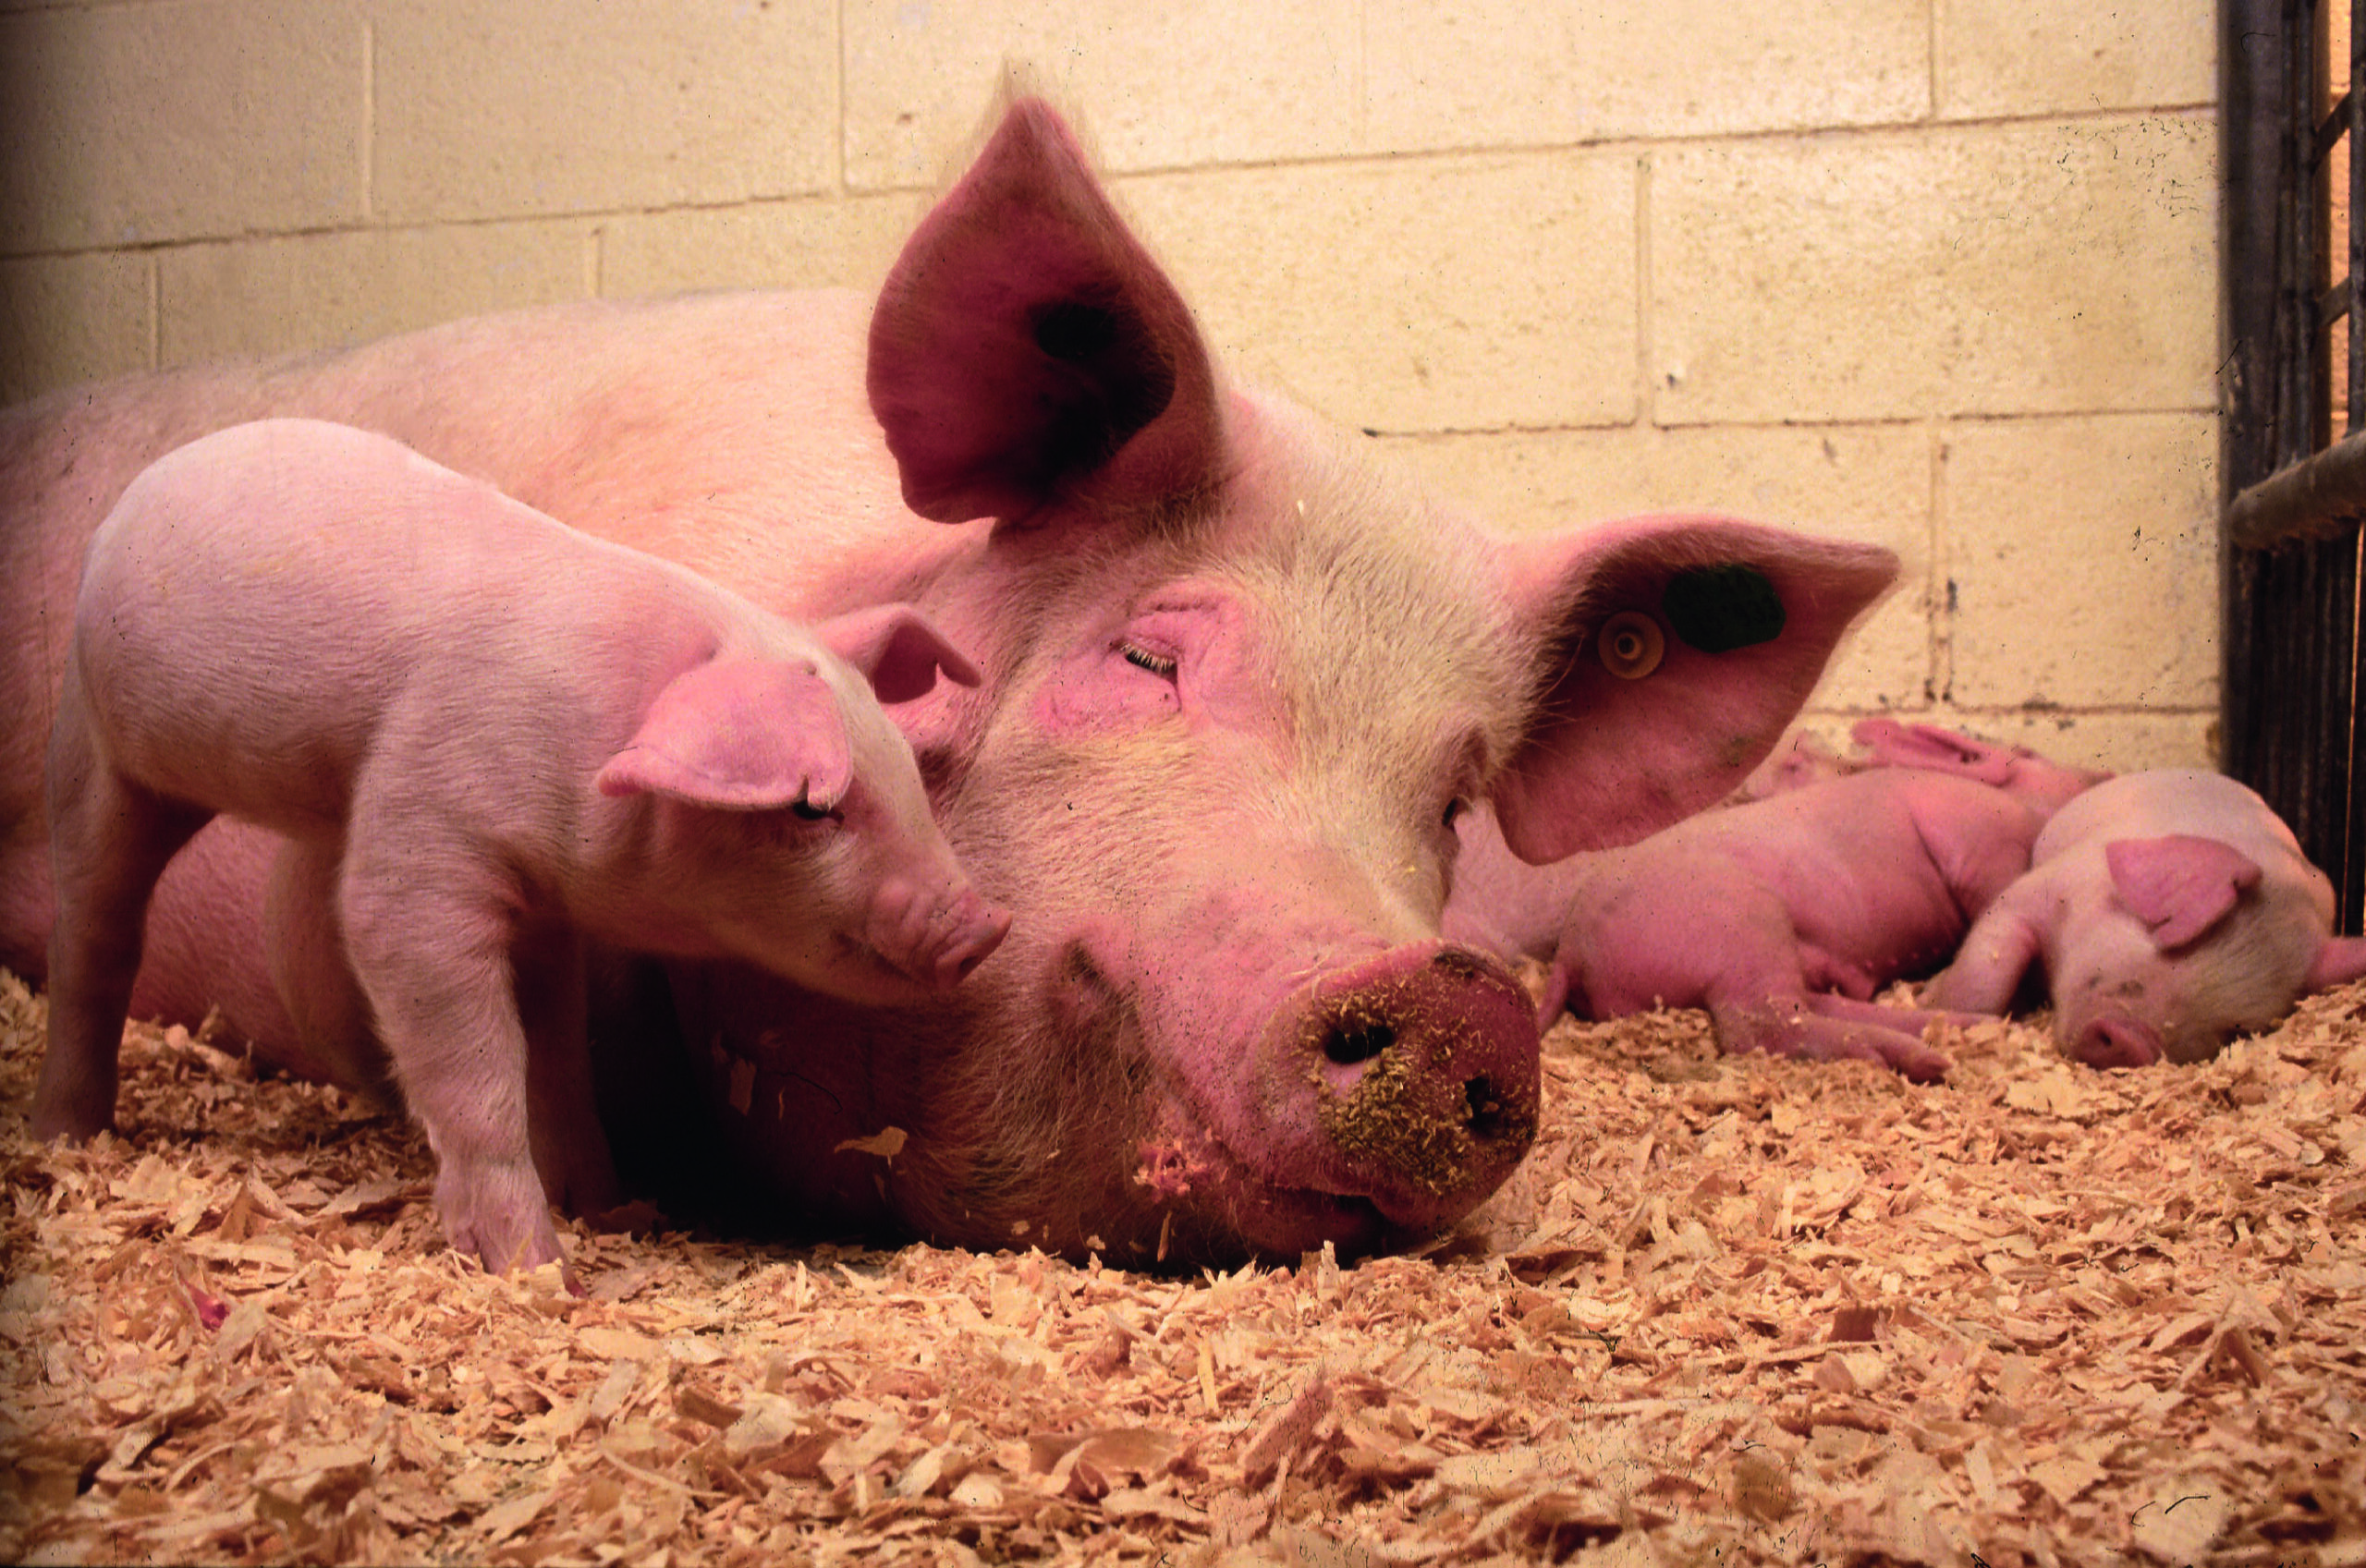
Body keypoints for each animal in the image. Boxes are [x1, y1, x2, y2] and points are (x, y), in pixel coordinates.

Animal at [34, 417, 1008, 1273]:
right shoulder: (420, 831)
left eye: (906, 771)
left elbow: (558, 1057)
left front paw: (613, 1209)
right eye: (812, 808)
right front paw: (536, 1266)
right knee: (93, 927)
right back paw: (69, 1134)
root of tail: (140, 492)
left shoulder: (544, 908)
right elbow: (470, 1053)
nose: (986, 924)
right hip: (99, 749)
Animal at [1447, 720, 2107, 1080]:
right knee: (1759, 1024)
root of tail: (1573, 952)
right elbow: (1991, 895)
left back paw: (1944, 1035)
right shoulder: (1977, 836)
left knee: (1805, 1003)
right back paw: (1916, 1059)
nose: (2098, 777)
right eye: (2035, 757)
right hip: (1741, 919)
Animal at [1924, 768, 2366, 1067]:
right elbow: (1988, 975)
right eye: (2175, 942)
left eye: (2236, 1028)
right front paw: (1941, 1007)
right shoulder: (2039, 889)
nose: (2130, 1041)